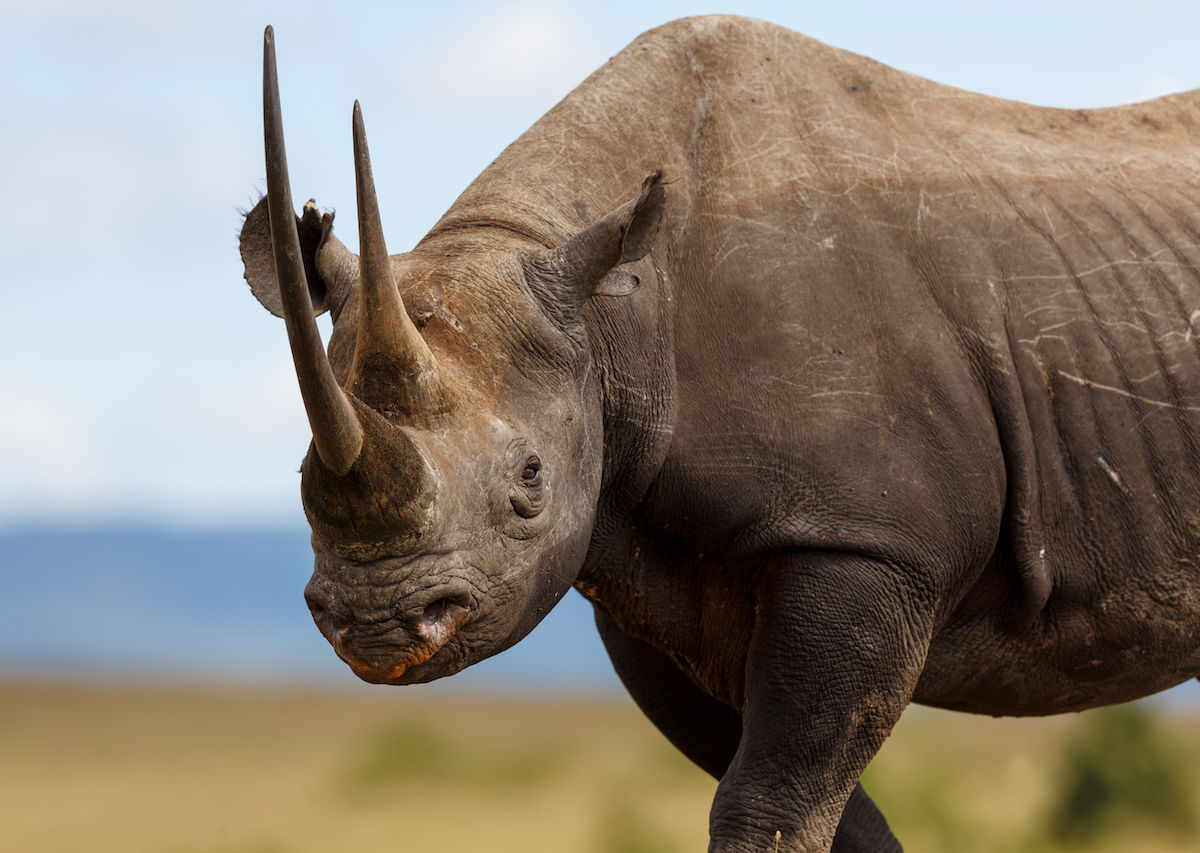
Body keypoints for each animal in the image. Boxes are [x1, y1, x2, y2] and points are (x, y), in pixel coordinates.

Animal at [239, 15, 1200, 853]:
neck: (613, 313)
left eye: (530, 479)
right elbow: (813, 803)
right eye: (300, 479)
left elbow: (772, 797)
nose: (375, 626)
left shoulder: (867, 539)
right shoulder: (641, 573)